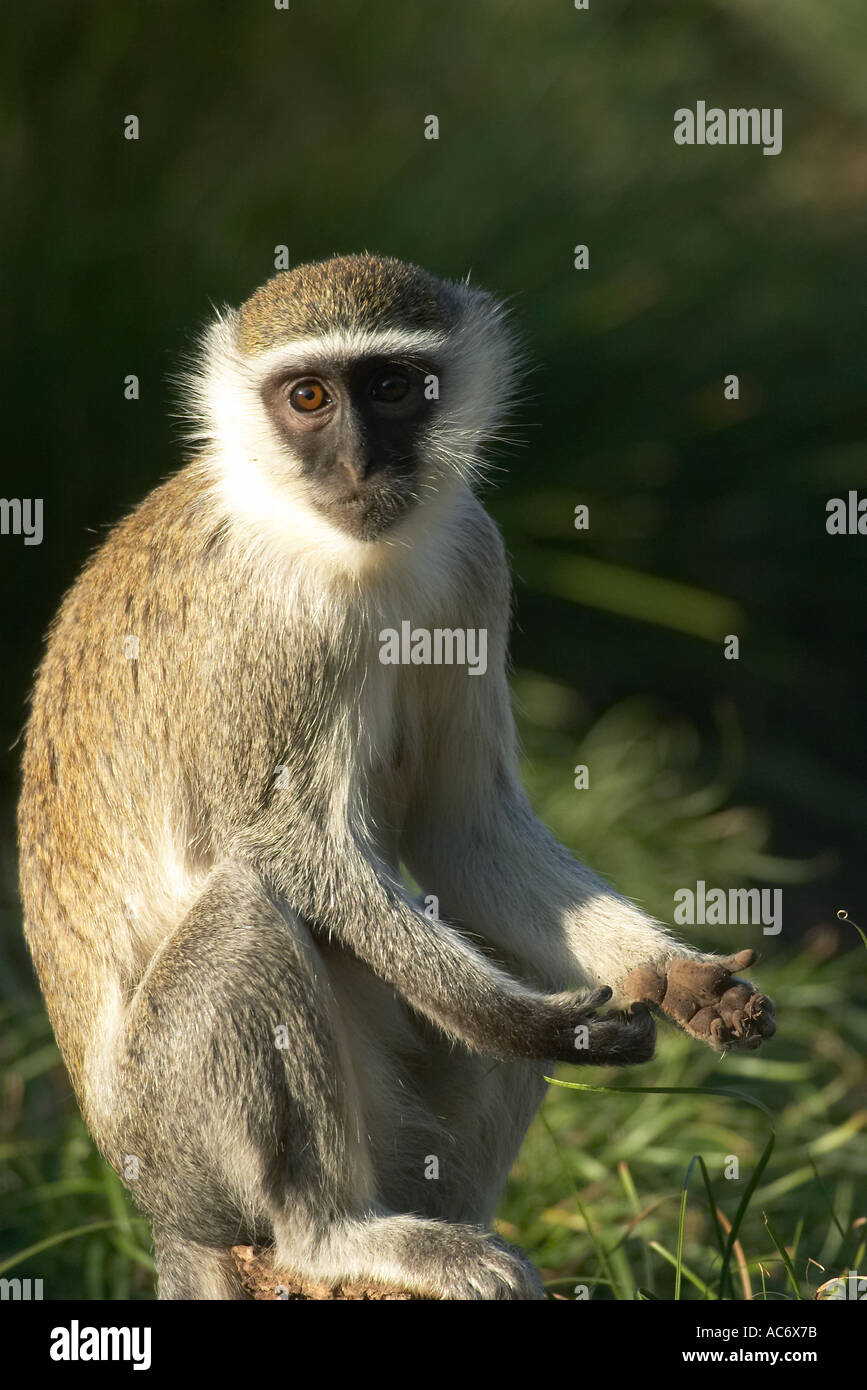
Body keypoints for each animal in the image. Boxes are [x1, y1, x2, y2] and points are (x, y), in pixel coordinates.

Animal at [17, 253, 776, 1301]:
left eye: (389, 387)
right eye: (306, 397)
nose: (358, 467)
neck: (338, 543)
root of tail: (163, 1214)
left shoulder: (475, 561)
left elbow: (462, 829)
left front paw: (674, 975)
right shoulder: (279, 626)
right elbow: (286, 845)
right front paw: (524, 1023)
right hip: (171, 1138)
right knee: (248, 914)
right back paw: (335, 1237)